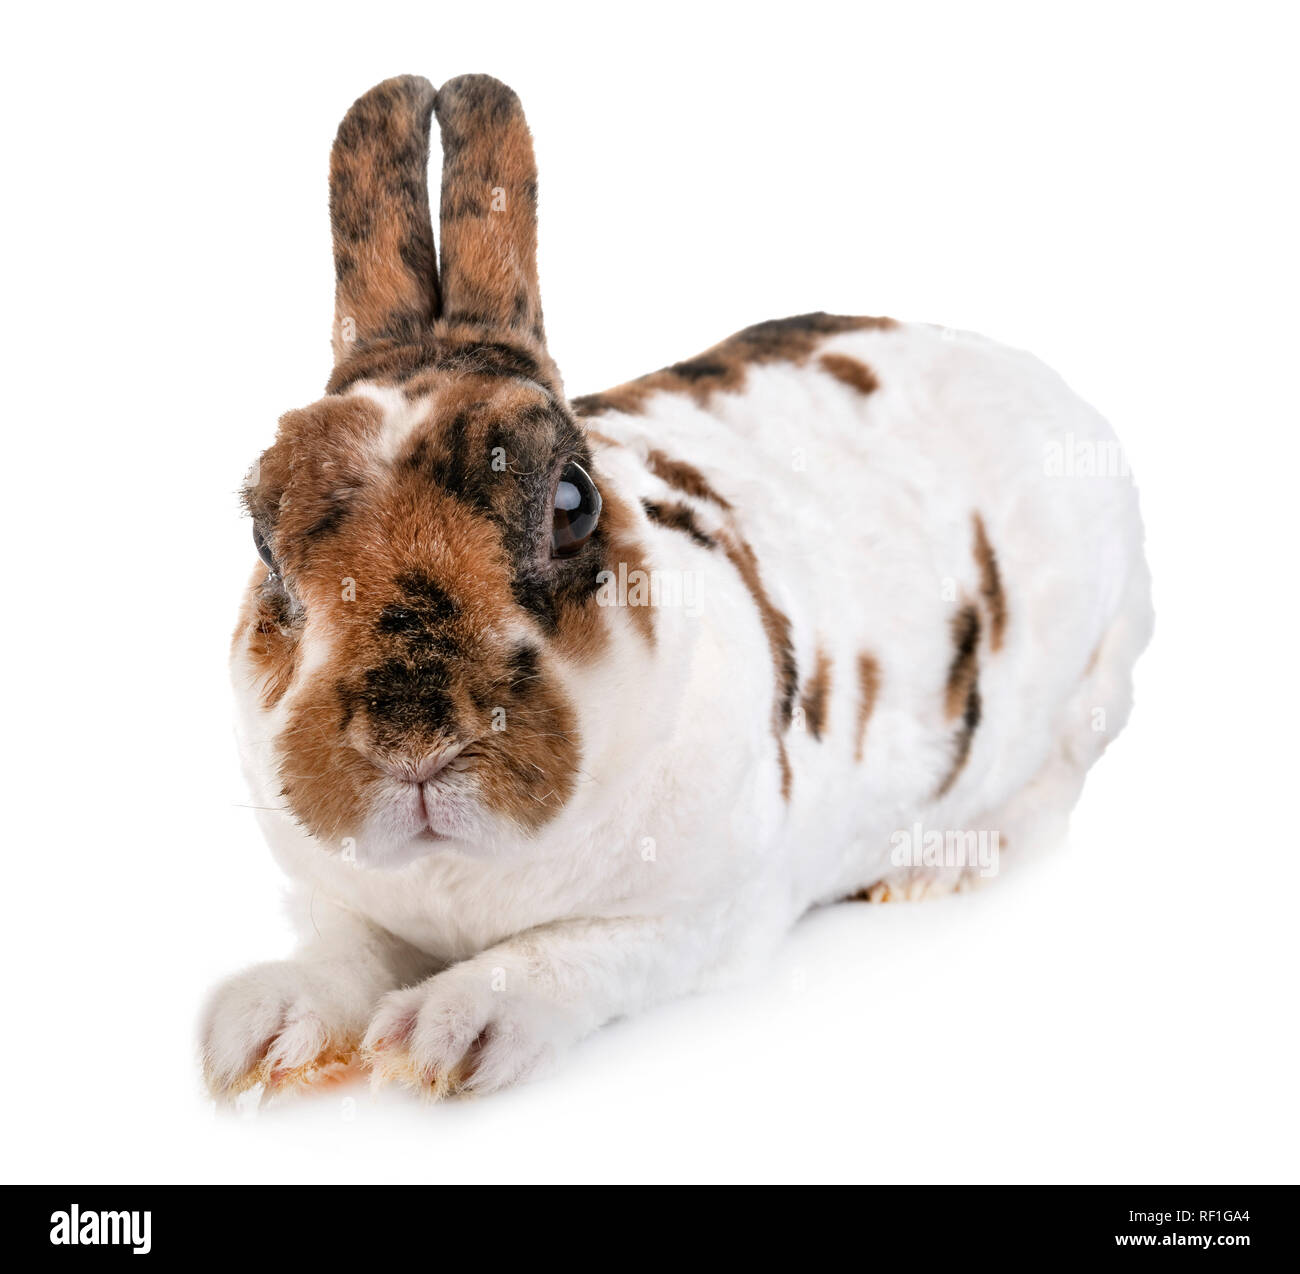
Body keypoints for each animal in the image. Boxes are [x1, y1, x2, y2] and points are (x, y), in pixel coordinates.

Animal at [201, 73, 1153, 1101]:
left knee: (1048, 797)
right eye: (260, 533)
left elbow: (566, 954)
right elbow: (344, 952)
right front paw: (254, 1033)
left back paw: (936, 872)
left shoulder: (705, 919)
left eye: (572, 501)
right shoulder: (341, 898)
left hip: (1102, 677)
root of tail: (1061, 397)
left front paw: (442, 1038)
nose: (412, 745)